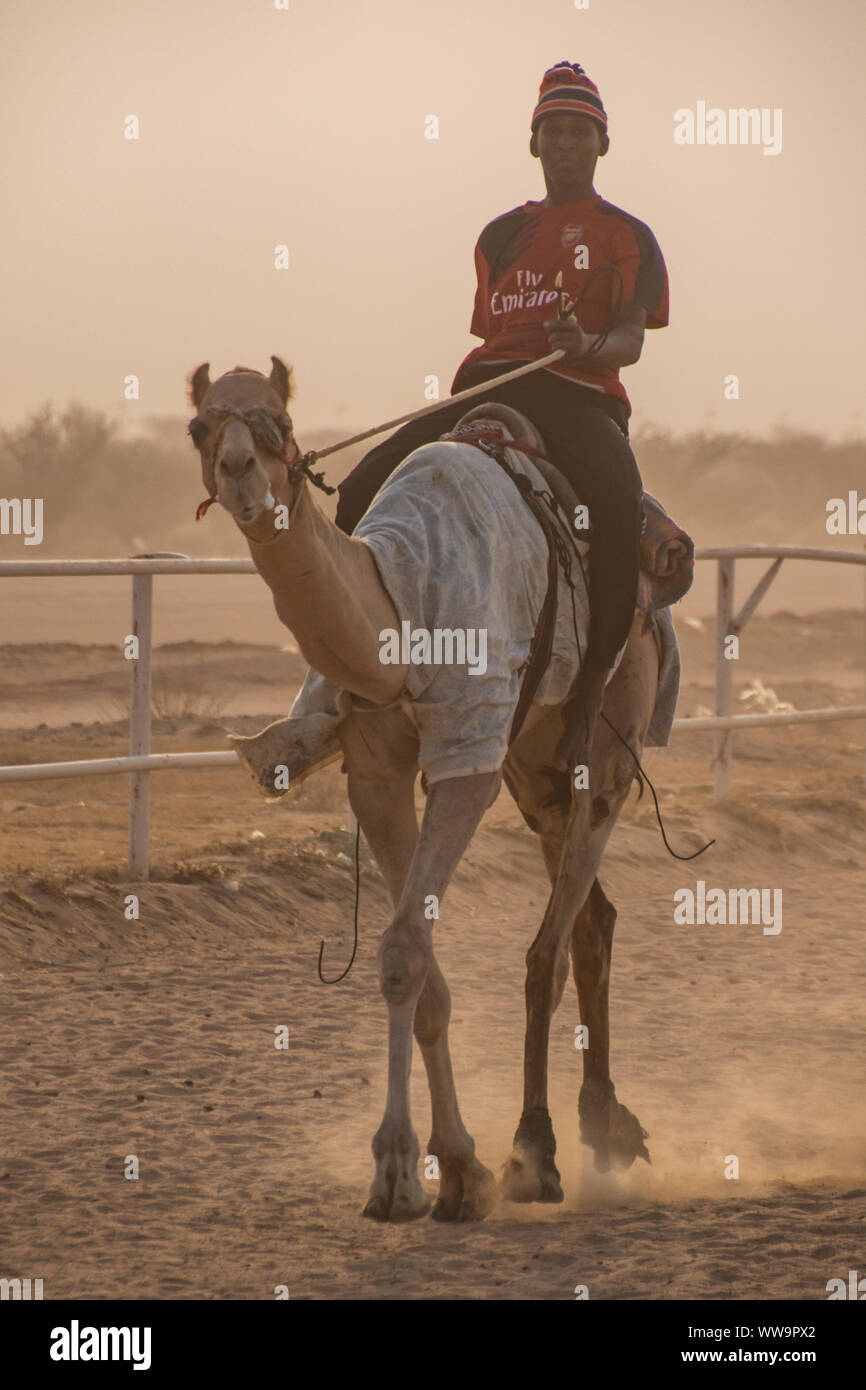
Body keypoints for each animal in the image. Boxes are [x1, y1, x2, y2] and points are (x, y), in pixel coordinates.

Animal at [187, 355, 659, 1222]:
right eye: (200, 425)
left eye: (280, 423)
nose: (240, 473)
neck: (403, 604)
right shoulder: (376, 767)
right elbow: (418, 962)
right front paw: (458, 1169)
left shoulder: (466, 750)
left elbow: (407, 949)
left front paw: (401, 1175)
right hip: (534, 767)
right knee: (591, 921)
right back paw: (603, 1126)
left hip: (604, 752)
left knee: (549, 947)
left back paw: (539, 1152)